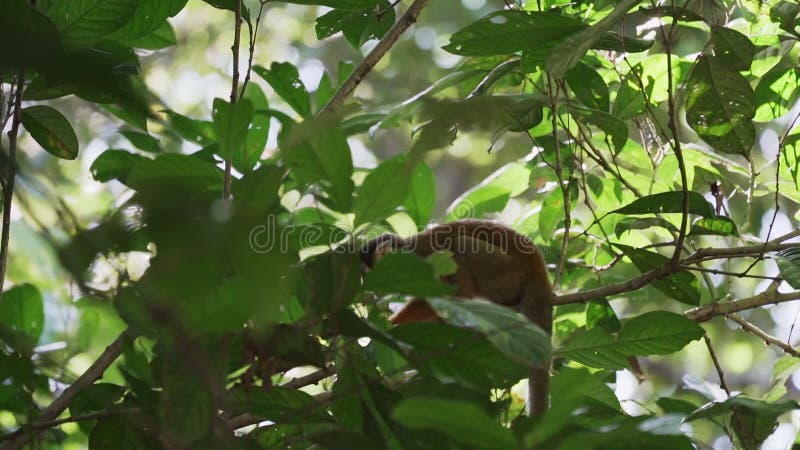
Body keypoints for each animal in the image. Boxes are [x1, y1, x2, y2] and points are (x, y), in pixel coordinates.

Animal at [360, 219, 553, 416]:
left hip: (507, 274)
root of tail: (539, 273)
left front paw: (390, 323)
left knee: (460, 246)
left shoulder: (424, 264)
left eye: (370, 273)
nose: (370, 287)